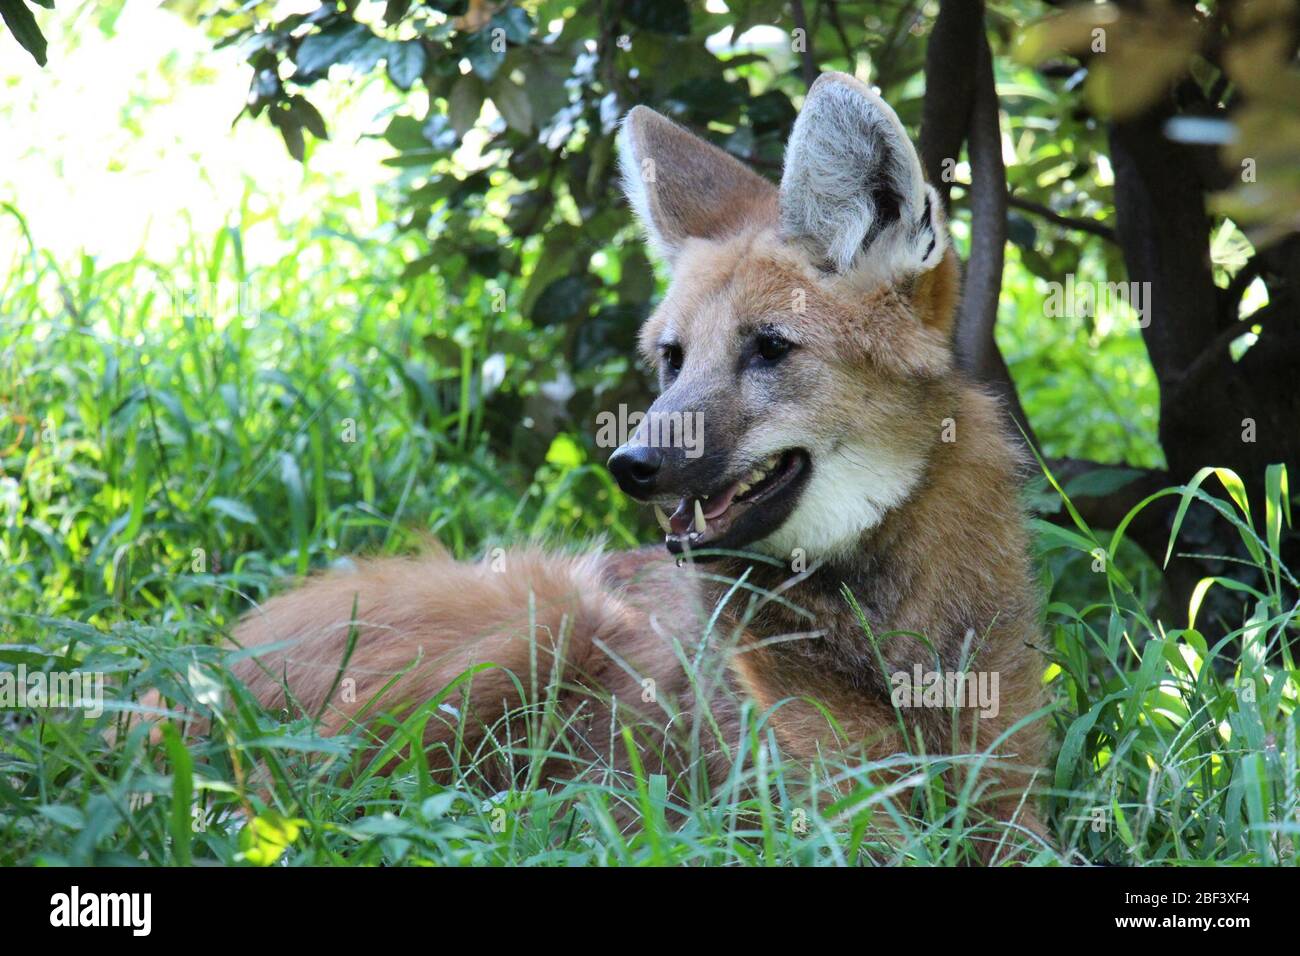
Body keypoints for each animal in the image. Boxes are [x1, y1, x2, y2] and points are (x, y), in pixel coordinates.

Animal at [217, 73, 1050, 858]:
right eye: (672, 358)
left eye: (770, 347)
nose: (632, 463)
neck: (887, 637)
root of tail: (226, 645)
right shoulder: (830, 812)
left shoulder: (1011, 789)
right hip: (542, 610)